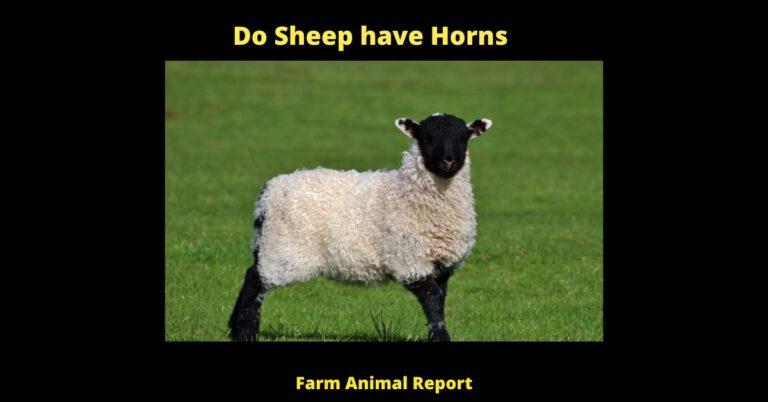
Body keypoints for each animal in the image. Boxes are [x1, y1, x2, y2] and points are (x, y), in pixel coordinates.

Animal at [228, 113, 493, 341]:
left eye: (463, 137)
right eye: (426, 138)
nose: (448, 161)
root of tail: (267, 194)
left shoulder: (443, 266)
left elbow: (439, 302)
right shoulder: (410, 260)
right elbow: (432, 302)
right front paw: (441, 337)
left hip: (270, 245)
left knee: (252, 275)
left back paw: (237, 328)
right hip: (283, 248)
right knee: (255, 280)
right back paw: (245, 333)